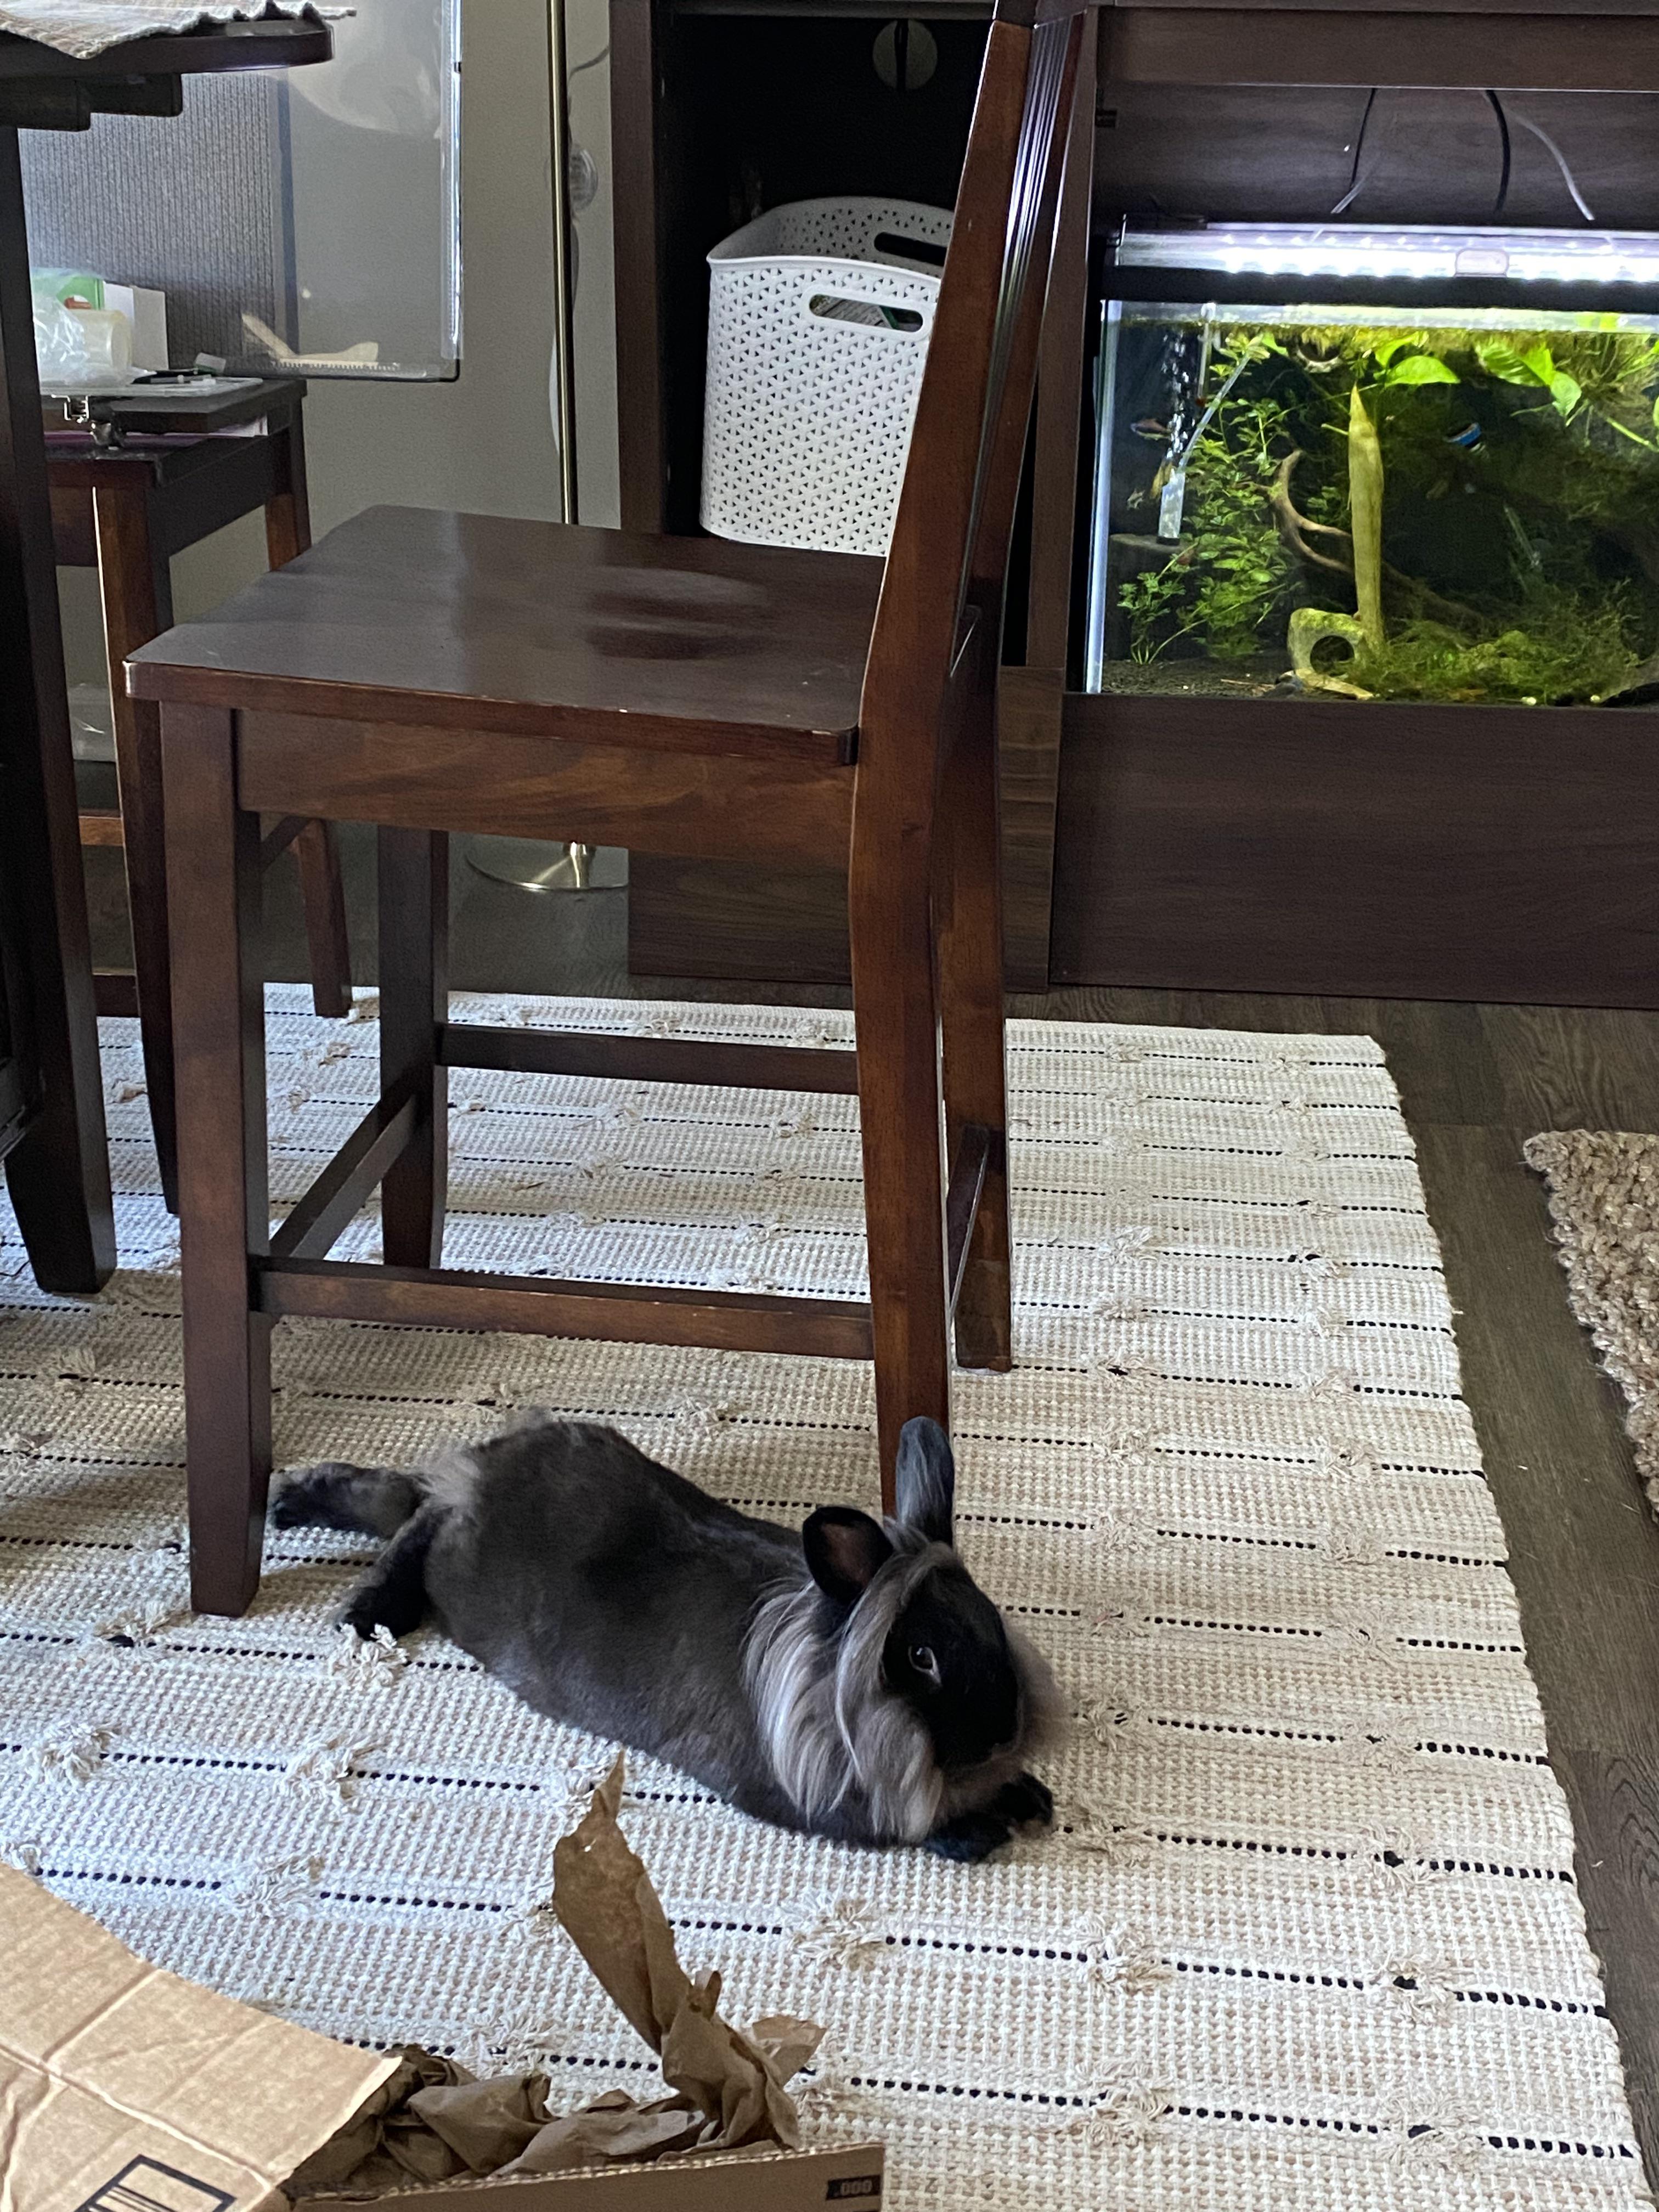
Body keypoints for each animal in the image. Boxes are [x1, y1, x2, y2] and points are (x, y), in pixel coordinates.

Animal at [272, 1412, 1061, 1861]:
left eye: (989, 1618)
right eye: (921, 1658)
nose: (1003, 1734)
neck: (823, 1681)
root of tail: (486, 1473)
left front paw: (1029, 1797)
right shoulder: (808, 1800)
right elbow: (905, 1823)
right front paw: (983, 1827)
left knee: (406, 1495)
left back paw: (291, 1505)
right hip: (455, 1565)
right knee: (416, 1518)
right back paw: (362, 1608)